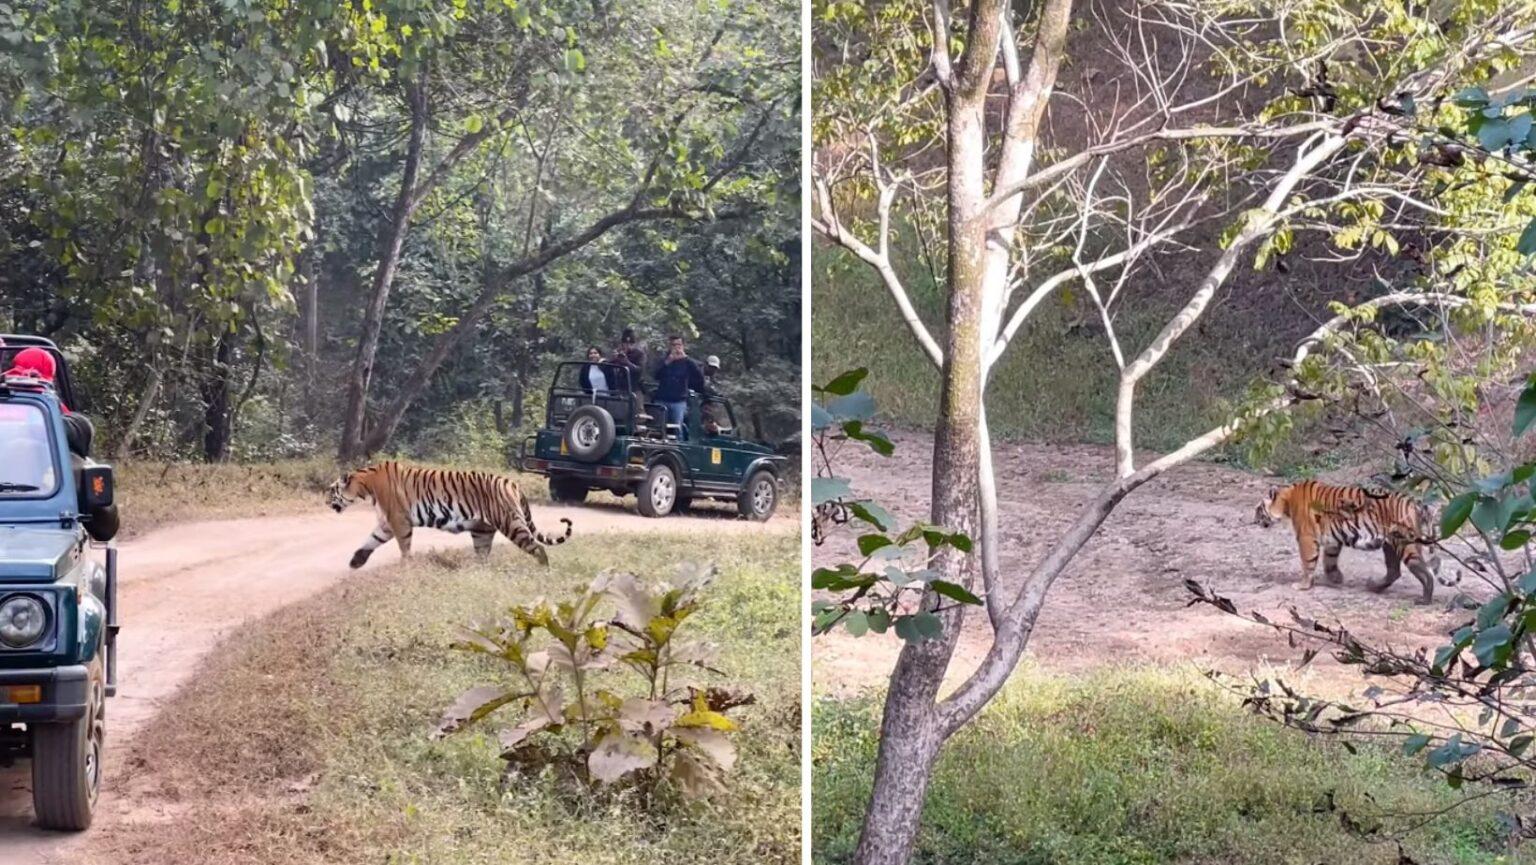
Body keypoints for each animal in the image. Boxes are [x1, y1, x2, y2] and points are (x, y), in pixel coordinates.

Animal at [326, 461, 572, 568]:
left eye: (331, 490)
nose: (326, 501)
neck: (365, 484)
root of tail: (513, 483)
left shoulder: (399, 519)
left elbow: (403, 545)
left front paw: (406, 565)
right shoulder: (387, 522)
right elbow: (371, 540)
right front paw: (355, 562)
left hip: (511, 523)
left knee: (538, 548)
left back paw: (544, 570)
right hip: (482, 531)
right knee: (484, 556)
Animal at [1253, 480, 1441, 604]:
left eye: (1258, 509)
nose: (1254, 521)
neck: (1287, 500)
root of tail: (1414, 502)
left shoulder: (1306, 538)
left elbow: (1307, 563)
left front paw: (1303, 586)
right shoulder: (1331, 539)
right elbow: (1329, 560)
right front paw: (1336, 578)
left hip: (1404, 543)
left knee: (1424, 571)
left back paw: (1424, 599)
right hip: (1390, 544)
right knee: (1394, 571)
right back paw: (1374, 586)